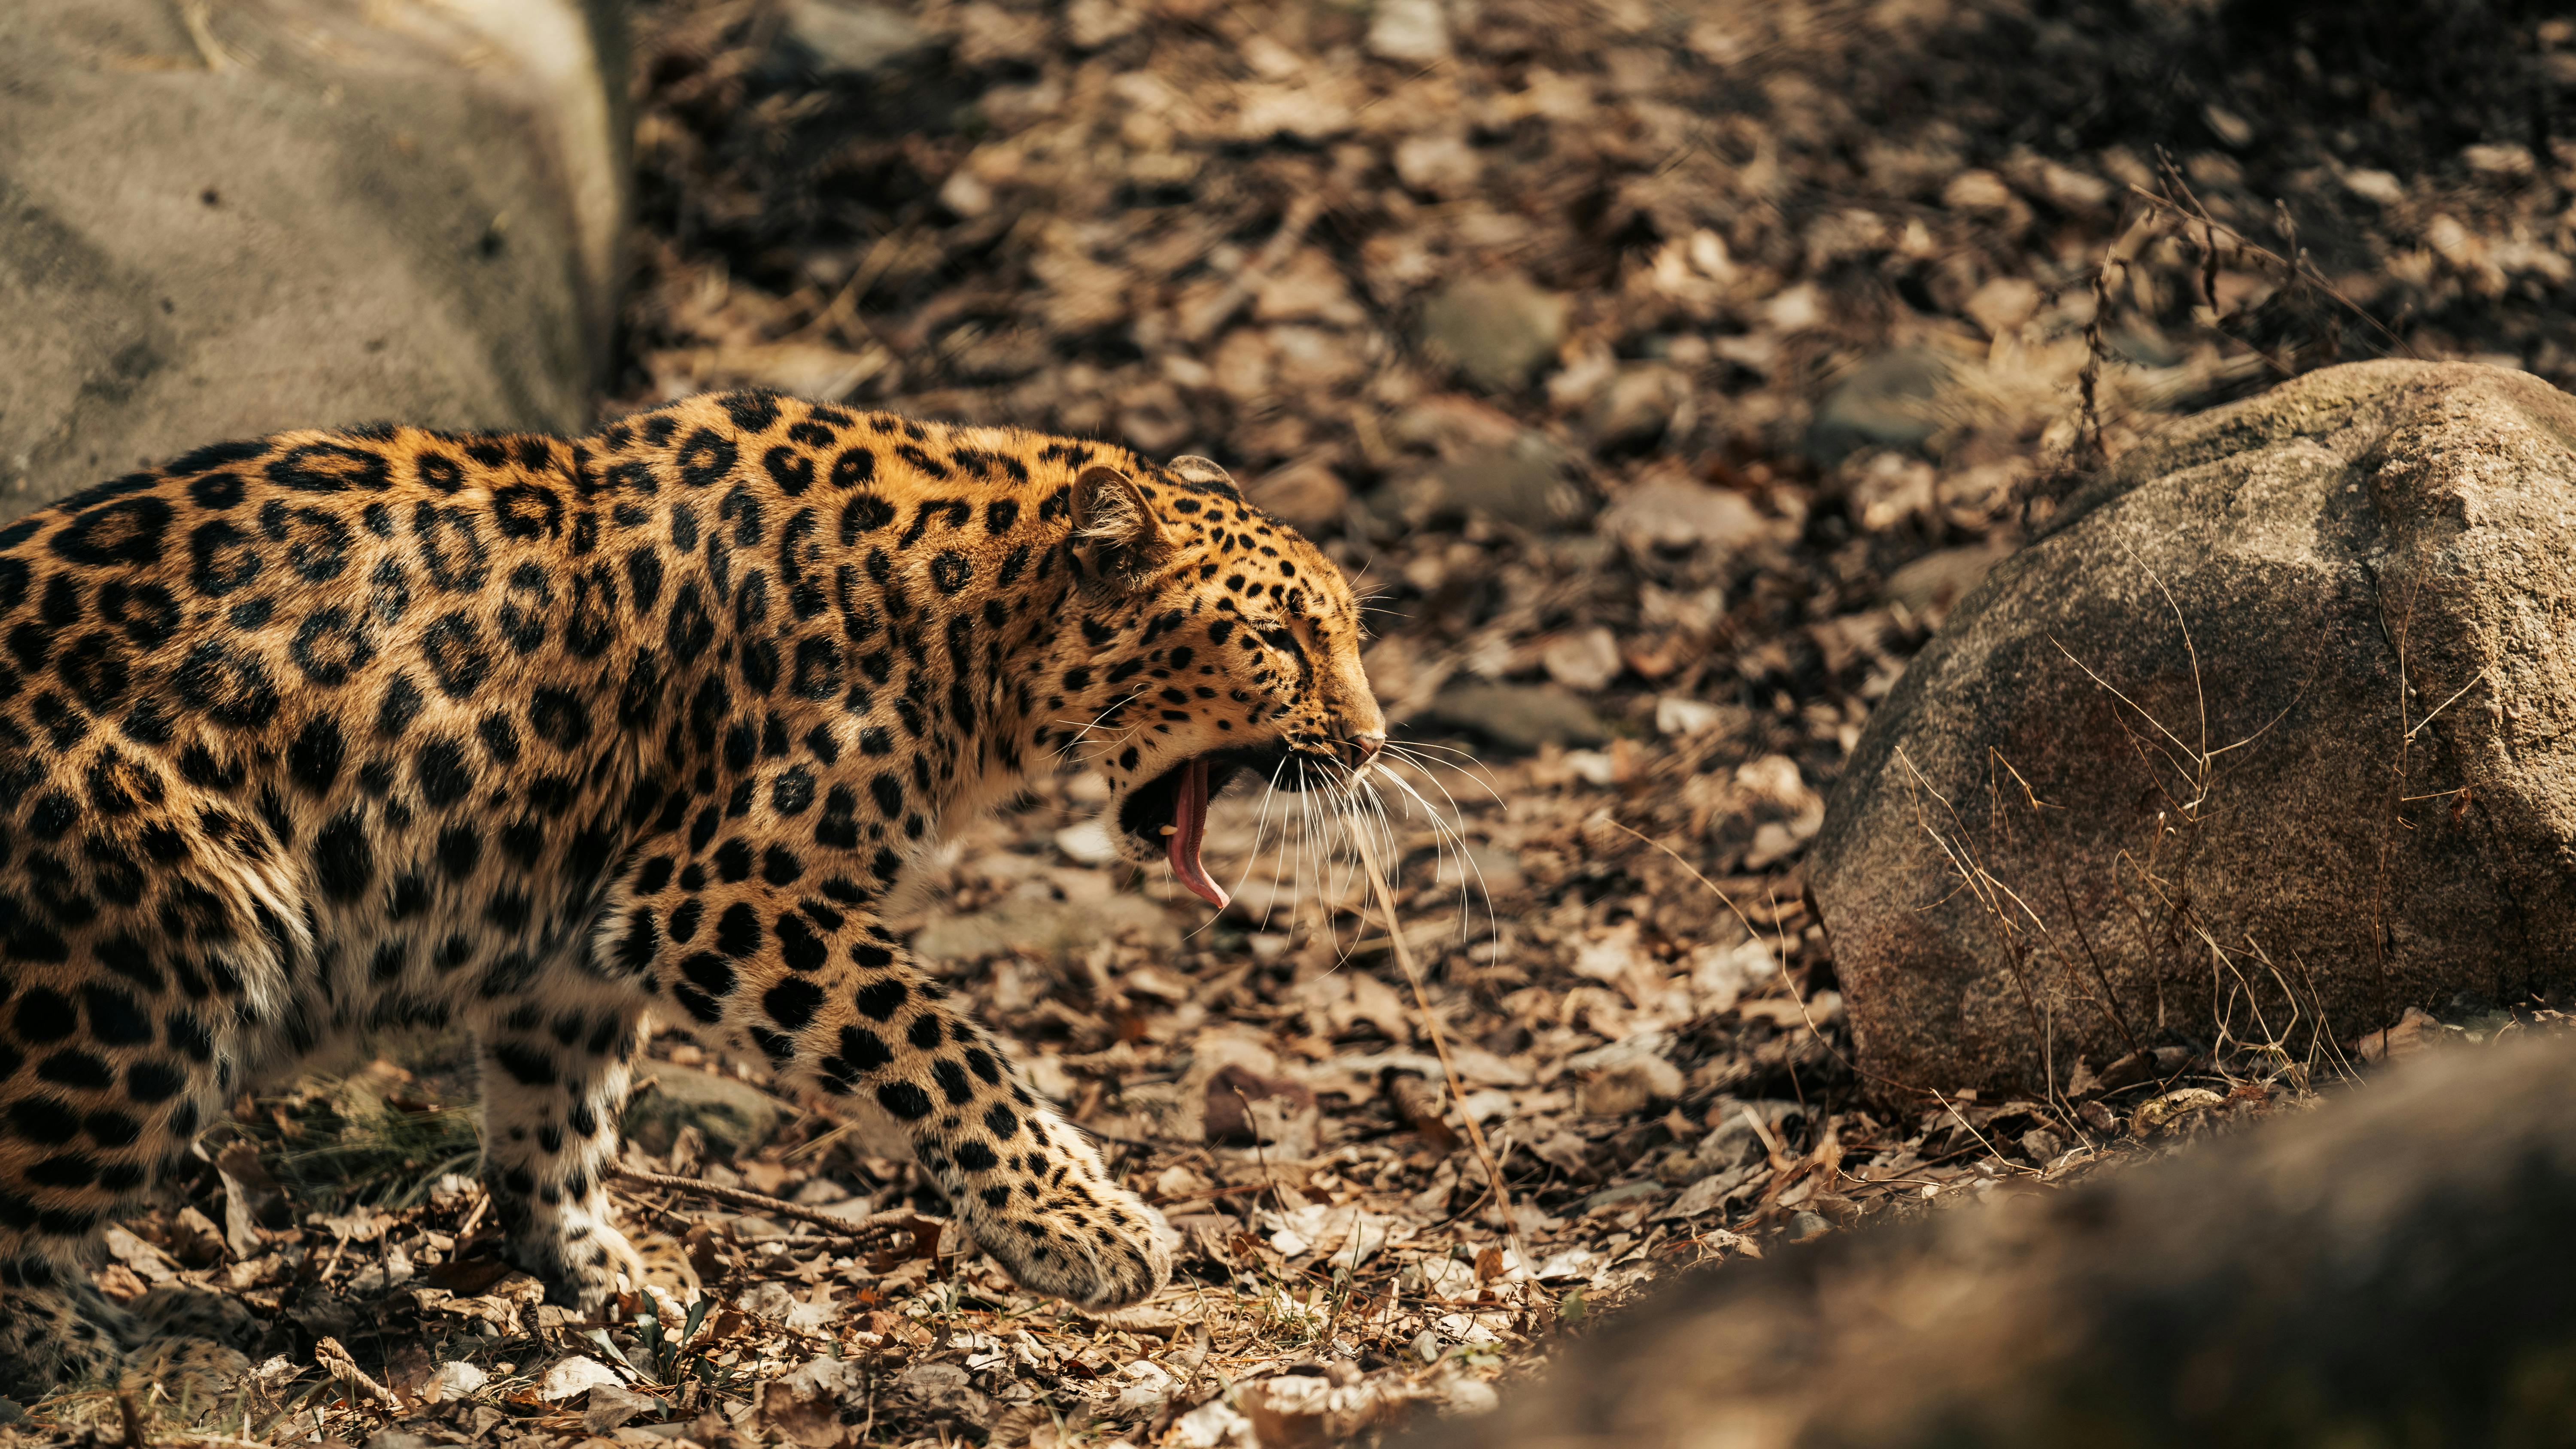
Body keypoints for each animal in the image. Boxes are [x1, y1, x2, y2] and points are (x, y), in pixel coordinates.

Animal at [0, 388, 1387, 1395]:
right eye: (1280, 638)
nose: (1374, 744)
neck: (970, 612)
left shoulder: (580, 940)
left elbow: (561, 1116)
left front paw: (599, 1267)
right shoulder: (733, 891)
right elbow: (950, 1049)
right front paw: (1081, 1225)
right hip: (150, 957)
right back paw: (84, 1348)